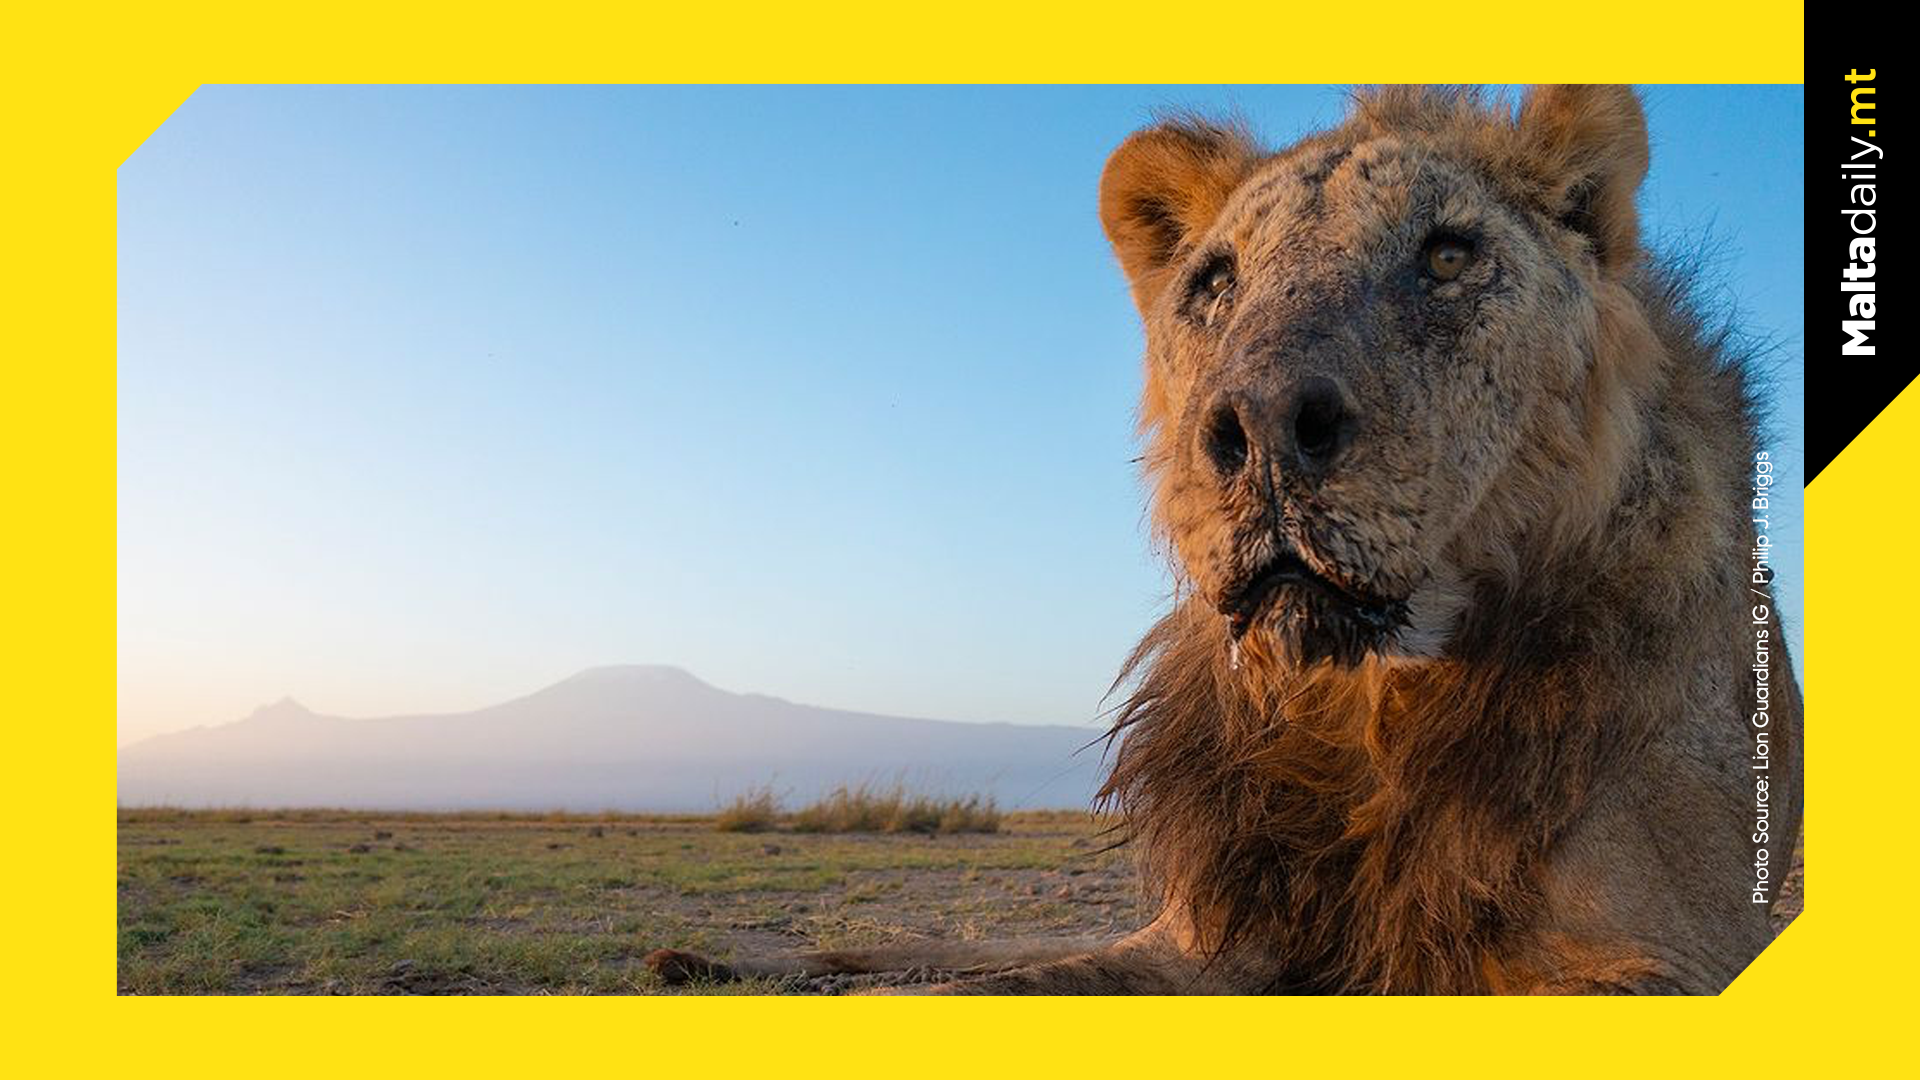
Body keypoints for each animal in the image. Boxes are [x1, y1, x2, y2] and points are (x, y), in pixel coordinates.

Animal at [647, 84, 1803, 994]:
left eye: (1446, 256)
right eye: (1214, 283)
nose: (1262, 427)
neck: (1366, 703)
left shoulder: (1656, 958)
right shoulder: (1208, 938)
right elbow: (1004, 982)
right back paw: (701, 956)